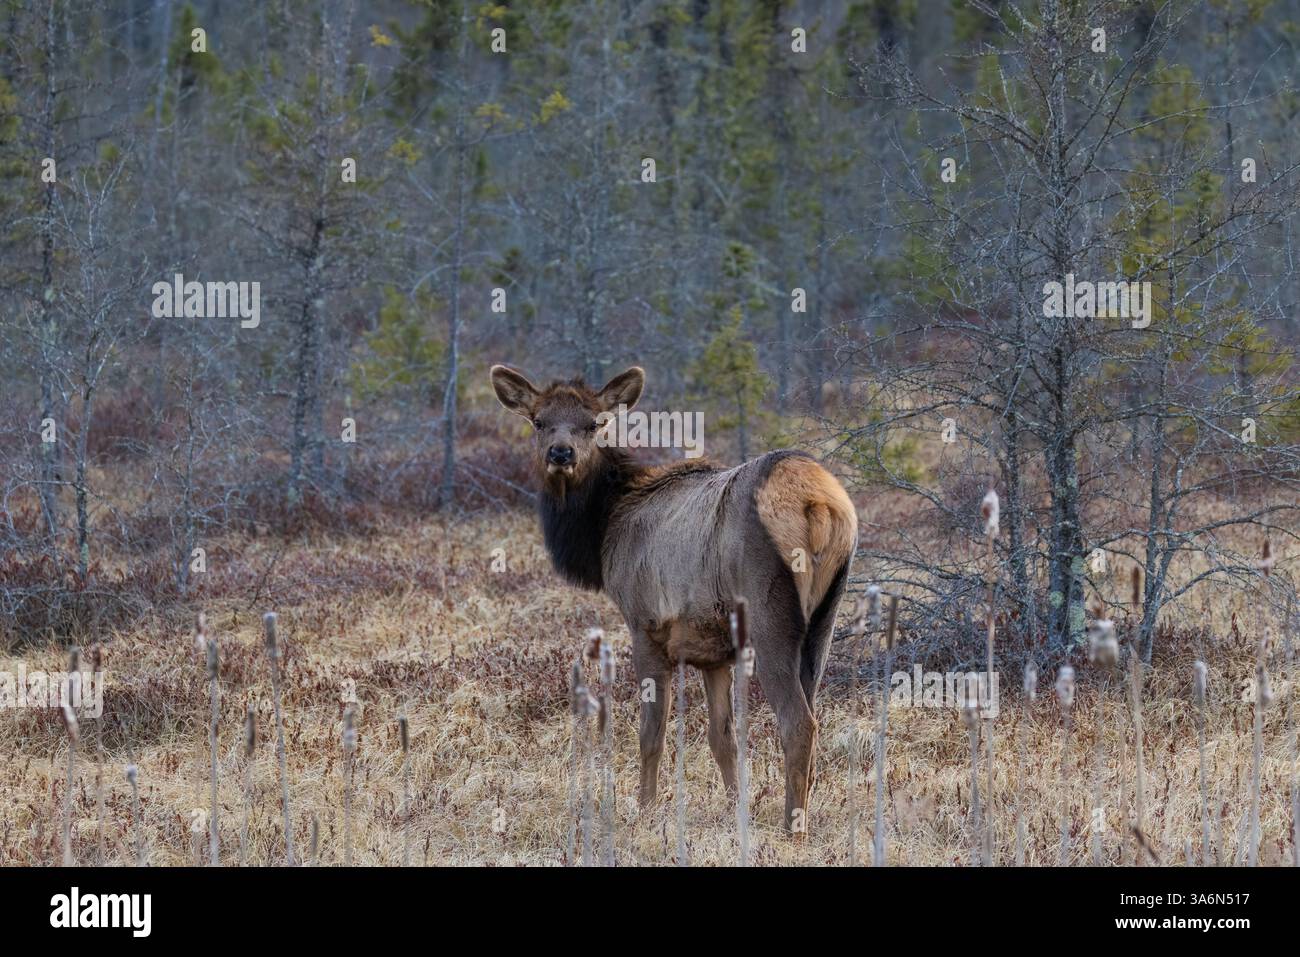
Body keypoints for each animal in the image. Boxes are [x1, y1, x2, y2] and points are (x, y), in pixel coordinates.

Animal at [491, 364, 858, 833]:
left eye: (593, 423)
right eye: (539, 421)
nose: (560, 453)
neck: (604, 532)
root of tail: (819, 505)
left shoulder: (645, 625)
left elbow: (651, 733)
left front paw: (643, 808)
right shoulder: (715, 648)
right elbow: (722, 738)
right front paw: (736, 805)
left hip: (769, 617)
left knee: (798, 722)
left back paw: (792, 827)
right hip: (825, 617)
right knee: (812, 710)